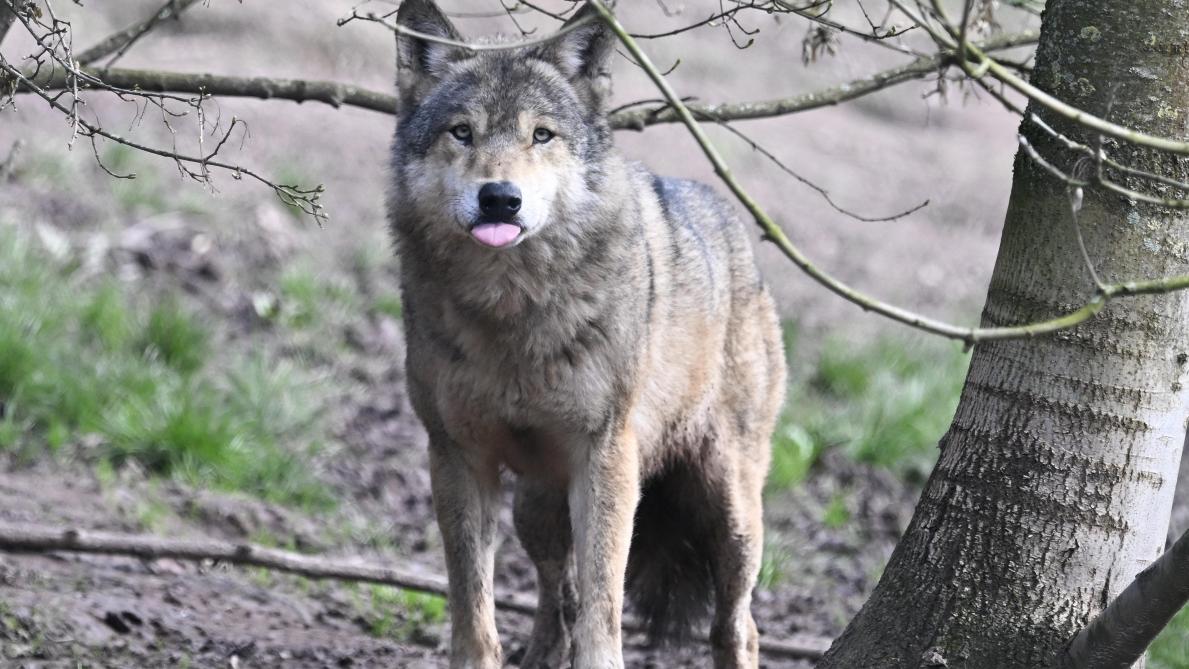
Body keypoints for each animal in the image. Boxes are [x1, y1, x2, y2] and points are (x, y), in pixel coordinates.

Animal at [387, 1, 787, 667]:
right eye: (462, 132)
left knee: (738, 624)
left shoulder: (606, 457)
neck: (512, 311)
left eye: (541, 135)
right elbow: (474, 604)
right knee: (557, 596)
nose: (500, 198)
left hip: (729, 510)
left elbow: (605, 604)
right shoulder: (455, 456)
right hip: (535, 506)